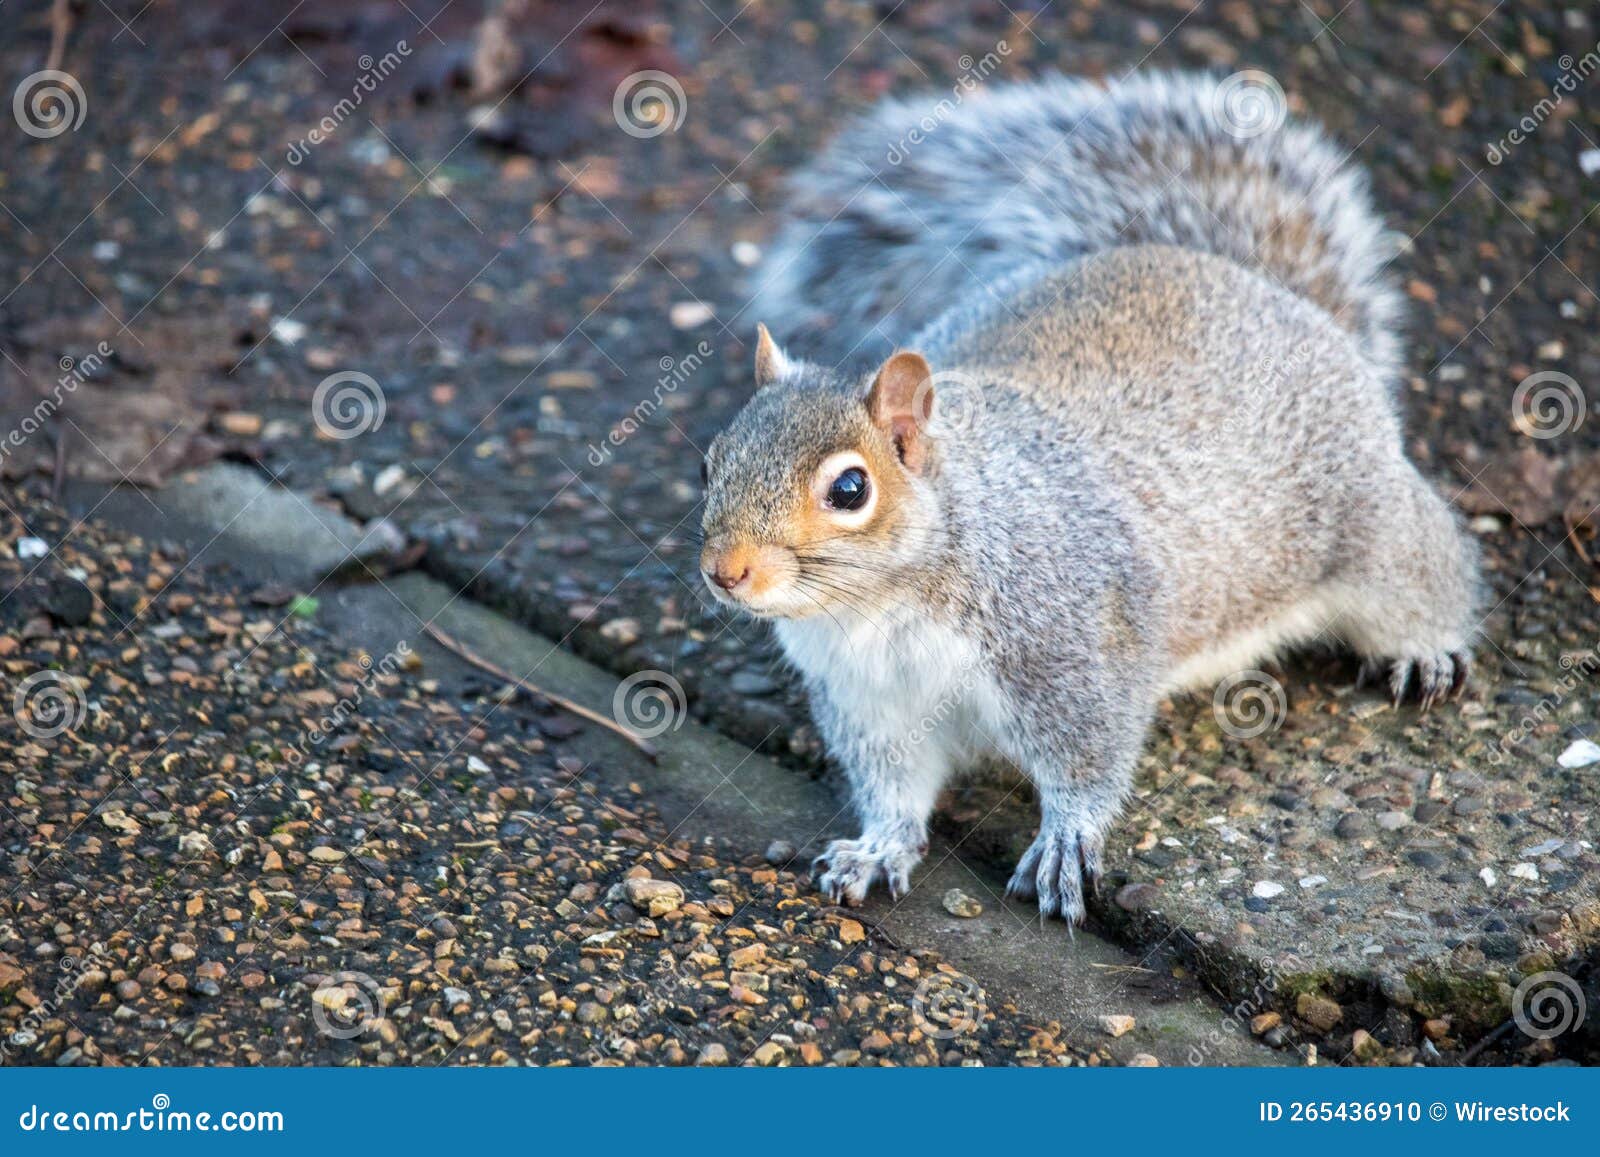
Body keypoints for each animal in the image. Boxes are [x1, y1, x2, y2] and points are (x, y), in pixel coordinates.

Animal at [698, 72, 1482, 922]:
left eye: (849, 488)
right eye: (711, 461)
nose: (725, 572)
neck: (885, 607)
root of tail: (1254, 284)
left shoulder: (1075, 649)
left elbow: (1088, 759)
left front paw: (1068, 841)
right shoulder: (872, 701)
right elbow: (895, 785)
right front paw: (879, 847)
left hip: (1368, 525)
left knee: (1425, 566)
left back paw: (1425, 648)